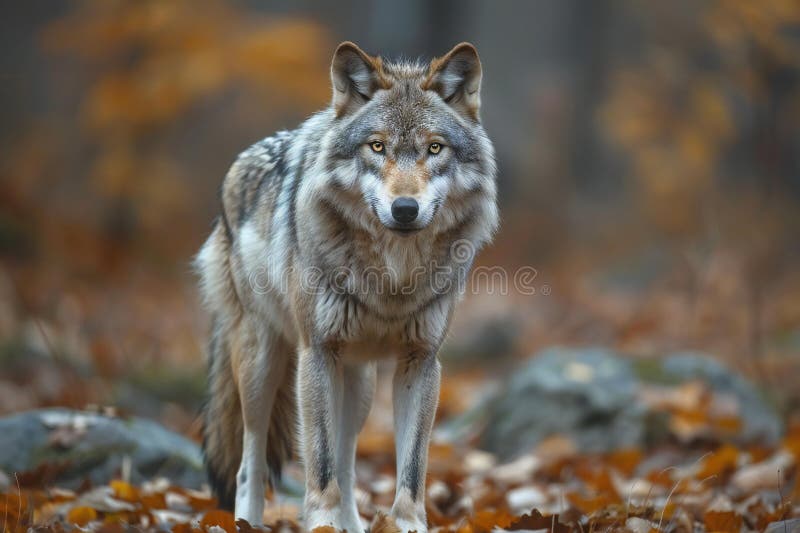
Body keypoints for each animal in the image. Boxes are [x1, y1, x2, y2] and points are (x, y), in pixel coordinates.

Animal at [195, 41, 498, 532]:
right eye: (377, 146)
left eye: (435, 148)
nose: (405, 209)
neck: (391, 276)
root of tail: (237, 164)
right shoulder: (316, 353)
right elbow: (318, 465)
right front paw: (321, 521)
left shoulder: (421, 362)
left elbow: (411, 469)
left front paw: (407, 523)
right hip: (263, 368)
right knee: (250, 463)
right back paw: (249, 520)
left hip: (359, 384)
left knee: (348, 463)